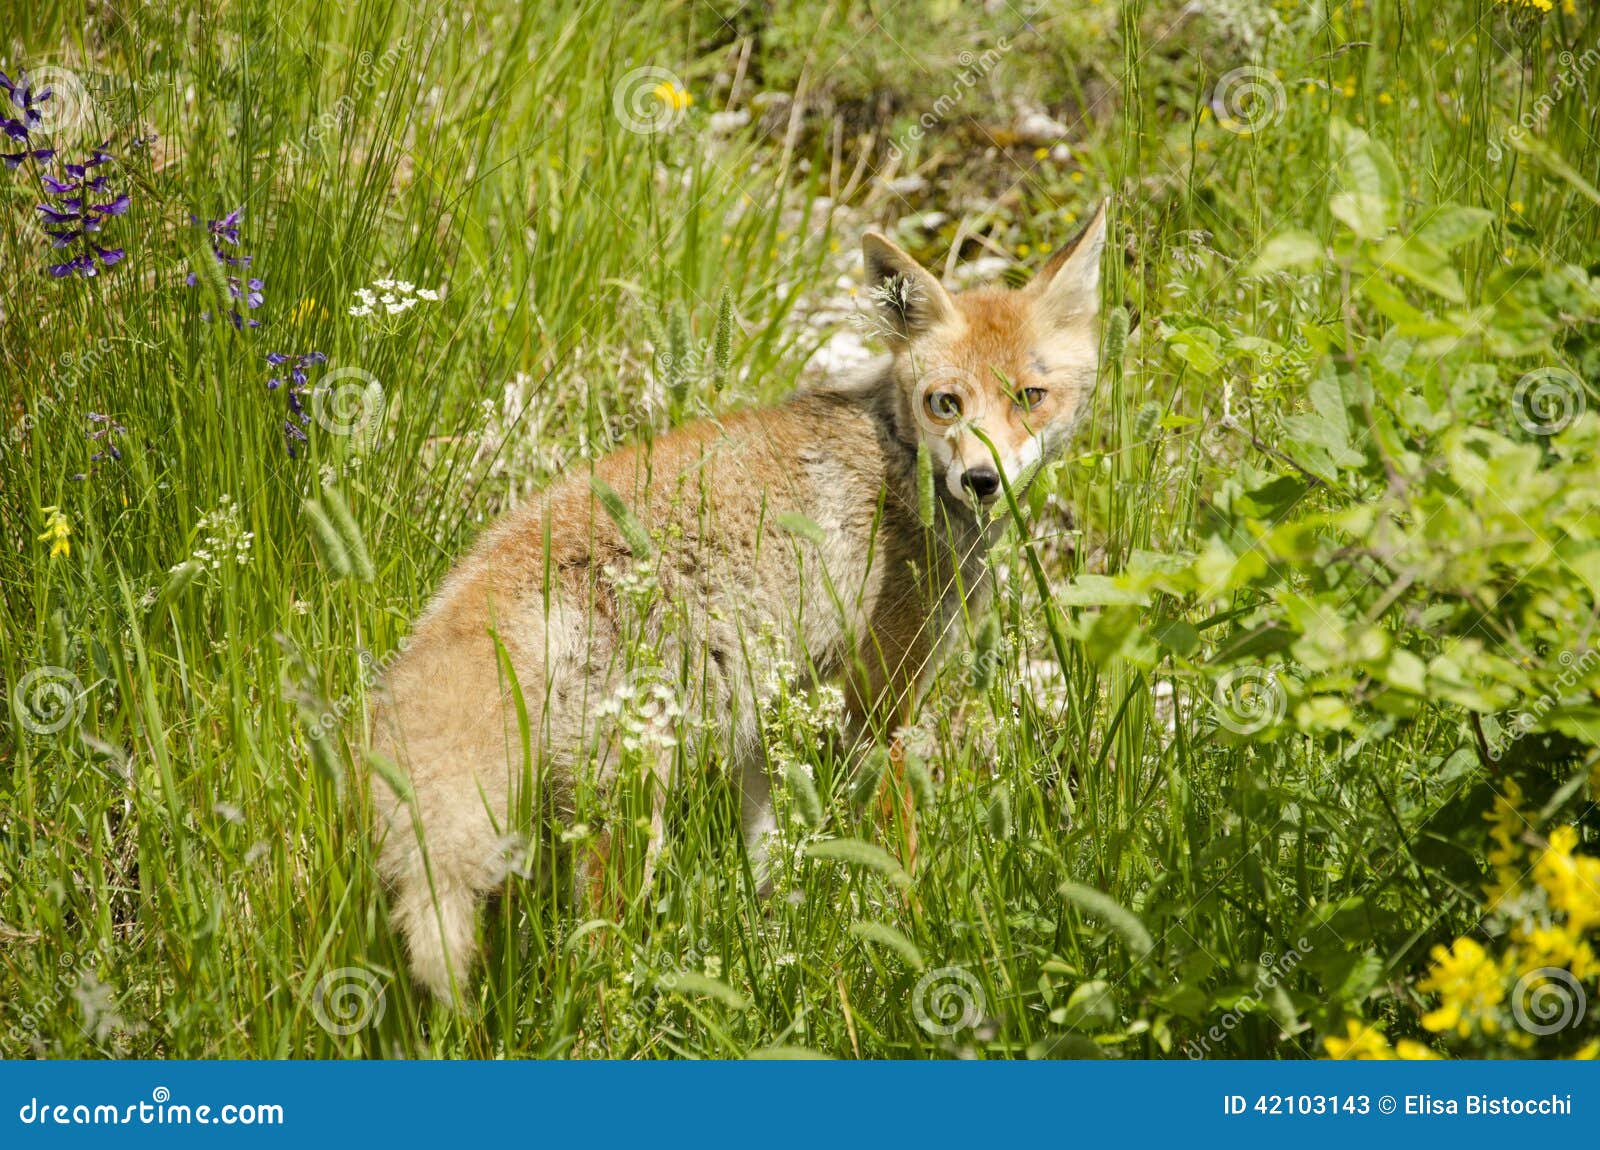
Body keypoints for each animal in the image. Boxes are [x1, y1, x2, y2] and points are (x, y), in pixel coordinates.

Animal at [368, 202, 1107, 1003]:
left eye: (1030, 397)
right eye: (946, 402)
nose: (980, 479)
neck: (897, 452)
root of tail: (492, 570)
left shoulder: (776, 707)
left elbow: (772, 856)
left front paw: (779, 944)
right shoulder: (883, 700)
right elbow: (895, 849)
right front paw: (908, 926)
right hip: (633, 812)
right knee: (592, 960)